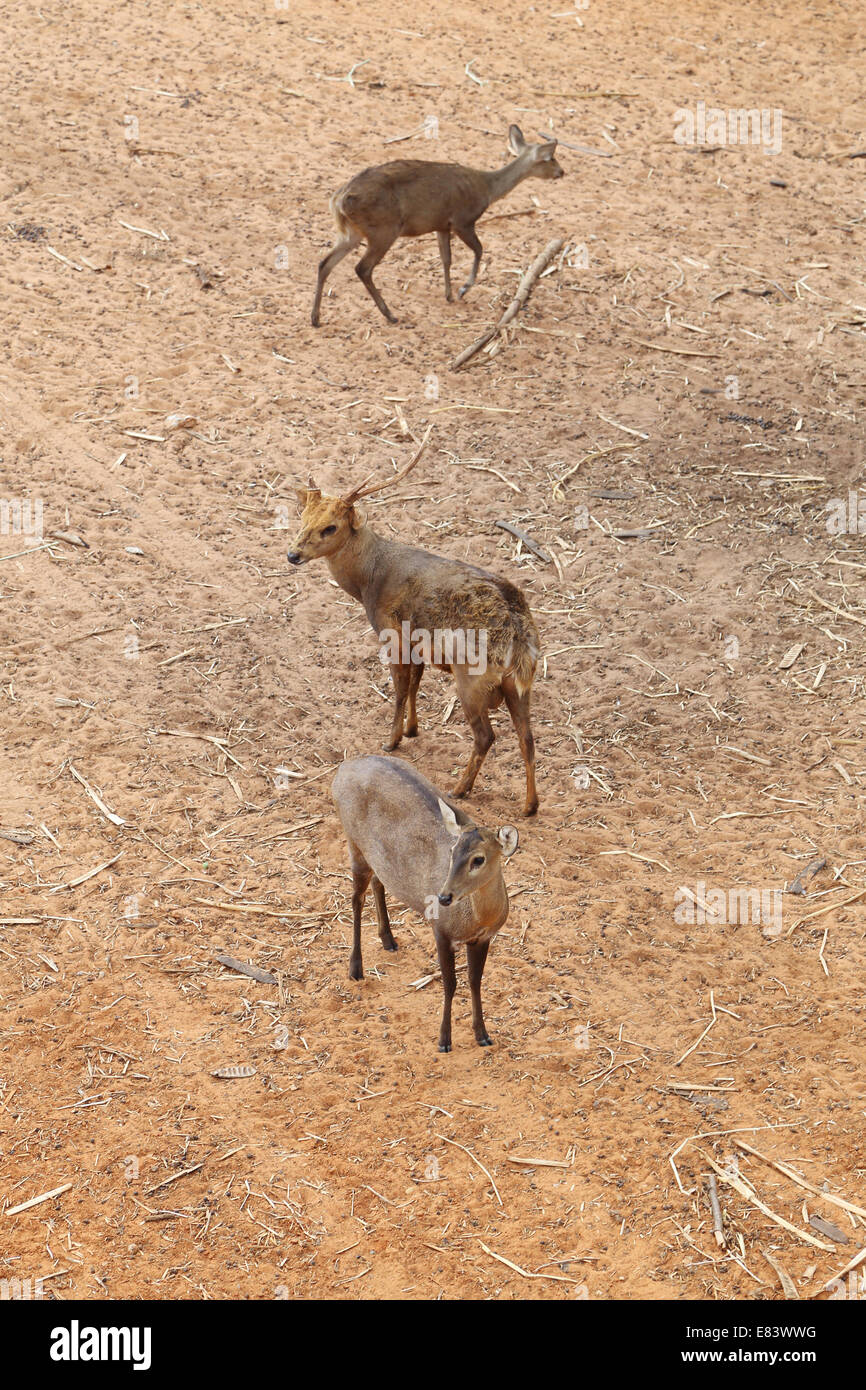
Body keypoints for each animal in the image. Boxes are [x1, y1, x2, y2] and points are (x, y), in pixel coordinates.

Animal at [287, 429, 540, 816]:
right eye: (302, 518)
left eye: (330, 527)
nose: (293, 554)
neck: (369, 581)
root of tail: (518, 631)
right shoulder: (419, 645)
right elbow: (416, 686)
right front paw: (412, 730)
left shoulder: (393, 634)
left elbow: (400, 690)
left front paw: (391, 741)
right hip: (519, 684)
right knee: (527, 737)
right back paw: (529, 805)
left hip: (473, 677)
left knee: (486, 735)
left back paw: (460, 789)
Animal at [311, 124, 564, 326]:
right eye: (550, 158)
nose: (562, 171)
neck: (488, 188)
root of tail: (339, 200)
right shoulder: (463, 220)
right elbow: (479, 250)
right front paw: (463, 289)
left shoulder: (441, 225)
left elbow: (446, 259)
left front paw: (449, 294)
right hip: (383, 230)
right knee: (362, 268)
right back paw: (390, 315)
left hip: (351, 232)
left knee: (324, 263)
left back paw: (315, 318)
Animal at [332, 754, 519, 1050]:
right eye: (452, 850)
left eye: (478, 859)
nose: (443, 897)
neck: (477, 918)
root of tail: (343, 768)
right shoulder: (441, 931)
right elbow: (450, 983)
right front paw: (444, 1040)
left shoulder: (483, 938)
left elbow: (475, 981)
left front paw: (482, 1034)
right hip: (354, 843)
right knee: (355, 899)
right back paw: (356, 968)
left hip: (378, 857)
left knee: (378, 882)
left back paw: (388, 939)